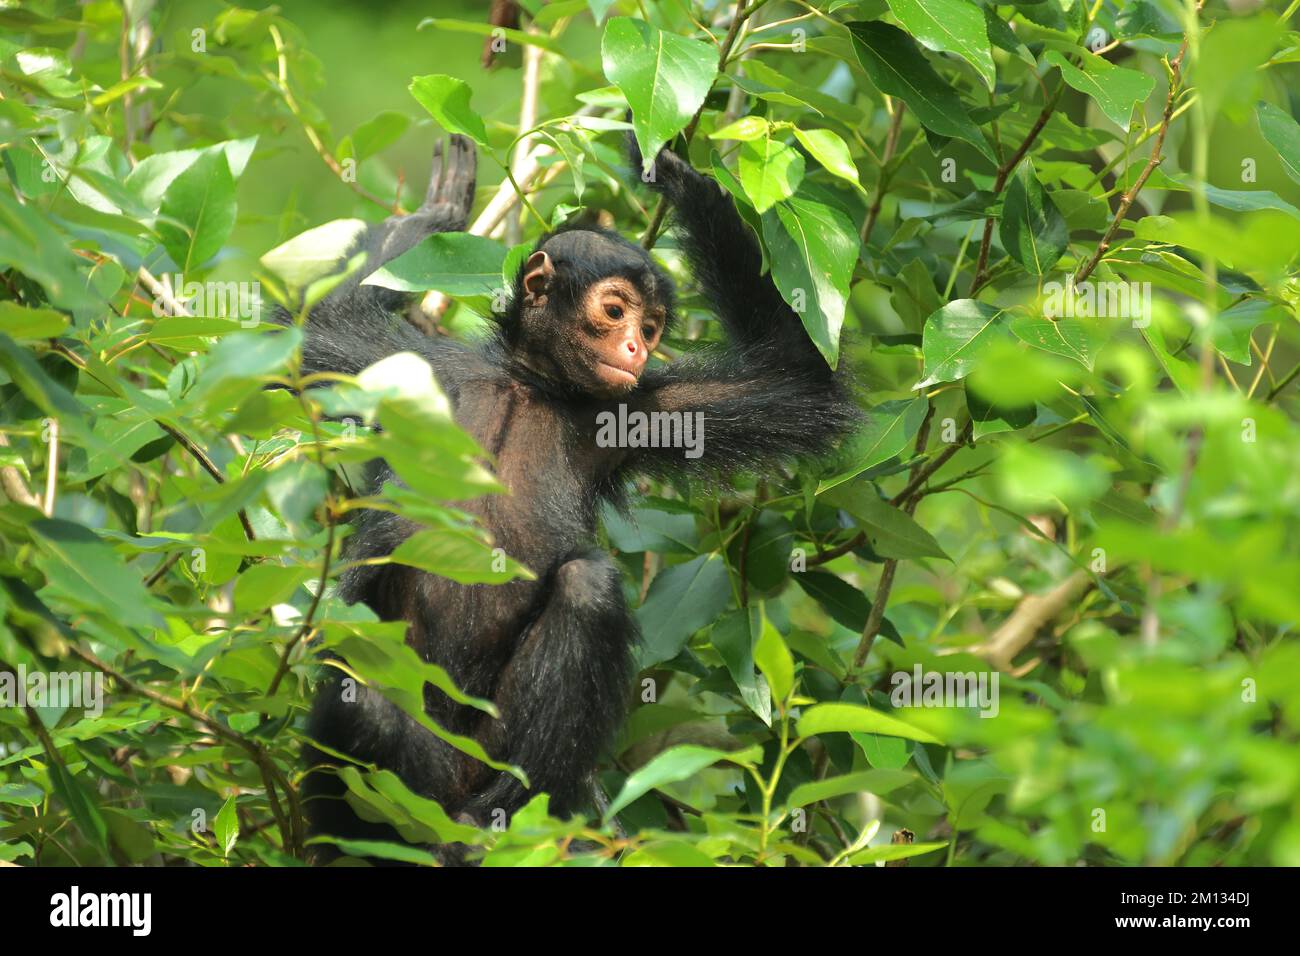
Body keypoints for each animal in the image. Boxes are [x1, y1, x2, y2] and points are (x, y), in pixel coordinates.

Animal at [289, 132, 860, 860]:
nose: (636, 346)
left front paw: (678, 174)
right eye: (616, 311)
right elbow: (310, 329)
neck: (531, 385)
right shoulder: (408, 369)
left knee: (586, 584)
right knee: (363, 696)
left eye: (654, 326)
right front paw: (437, 211)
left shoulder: (644, 407)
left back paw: (499, 815)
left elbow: (799, 382)